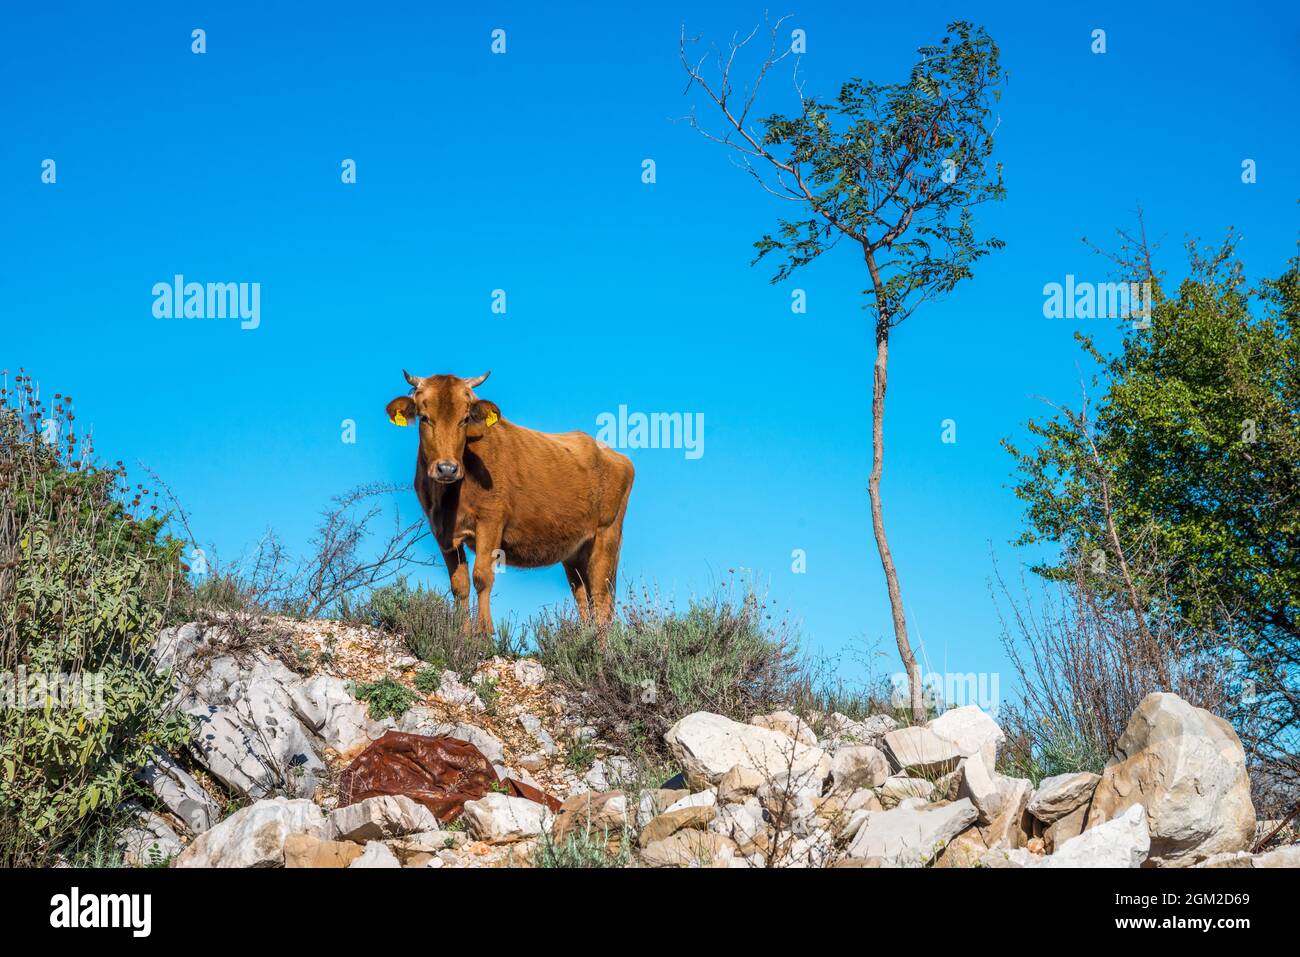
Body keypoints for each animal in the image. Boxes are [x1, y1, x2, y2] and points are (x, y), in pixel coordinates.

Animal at [386, 370, 634, 637]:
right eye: (424, 418)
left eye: (465, 419)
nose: (447, 468)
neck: (449, 498)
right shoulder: (442, 531)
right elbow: (459, 584)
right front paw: (462, 634)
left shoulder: (491, 521)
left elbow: (482, 577)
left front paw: (484, 633)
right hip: (576, 551)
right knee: (582, 597)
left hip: (606, 535)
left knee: (600, 598)